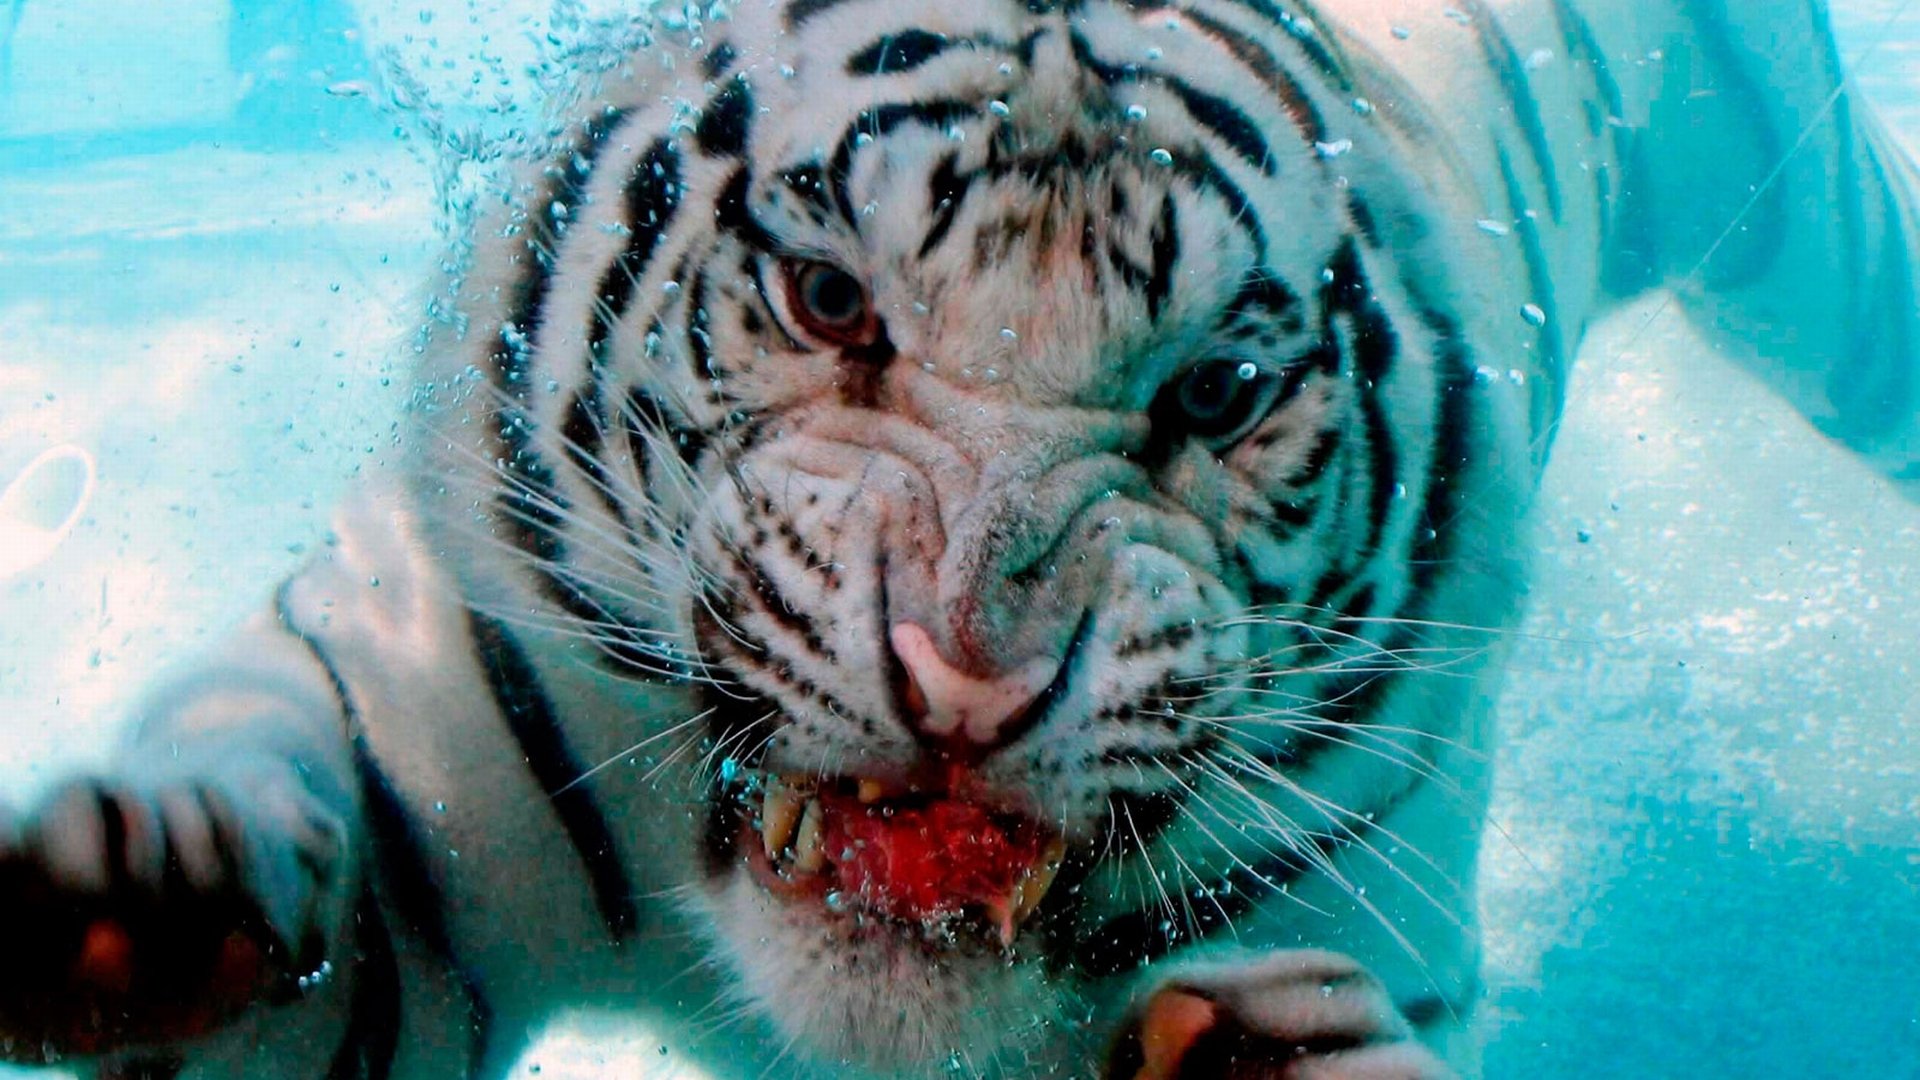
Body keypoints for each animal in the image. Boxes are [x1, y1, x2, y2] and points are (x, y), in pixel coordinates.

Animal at [1, 0, 1915, 1077]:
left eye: (1219, 391)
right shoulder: (430, 738)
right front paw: (141, 898)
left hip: (1806, 231)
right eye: (826, 297)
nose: (969, 678)